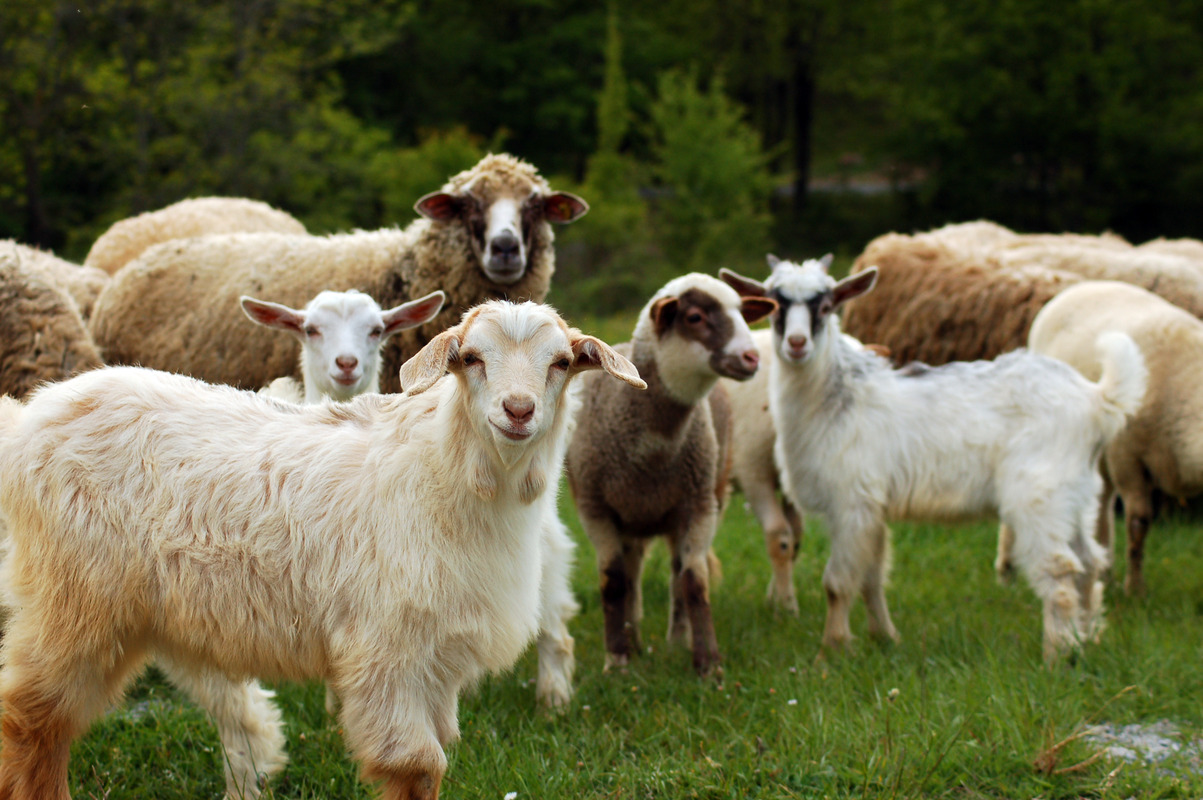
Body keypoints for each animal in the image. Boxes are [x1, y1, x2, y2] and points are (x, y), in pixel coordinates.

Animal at [566, 272, 776, 677]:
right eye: (694, 317)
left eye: (743, 313)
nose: (751, 358)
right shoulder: (594, 508)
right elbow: (613, 581)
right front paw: (617, 660)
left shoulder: (700, 506)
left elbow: (694, 581)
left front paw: (708, 665)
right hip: (630, 514)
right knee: (631, 572)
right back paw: (631, 638)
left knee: (676, 573)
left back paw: (677, 639)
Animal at [722, 255, 1147, 663]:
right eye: (775, 305)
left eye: (826, 306)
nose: (797, 344)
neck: (838, 397)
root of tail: (1097, 400)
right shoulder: (873, 508)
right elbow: (872, 577)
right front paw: (884, 639)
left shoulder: (853, 500)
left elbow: (838, 583)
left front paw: (830, 653)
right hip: (1077, 494)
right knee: (1090, 562)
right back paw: (1086, 638)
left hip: (1040, 494)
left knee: (1059, 567)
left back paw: (1057, 654)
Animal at [1013, 280, 1203, 597]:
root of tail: (1083, 286)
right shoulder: (1126, 458)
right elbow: (1139, 523)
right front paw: (1135, 590)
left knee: (1099, 507)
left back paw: (1104, 570)